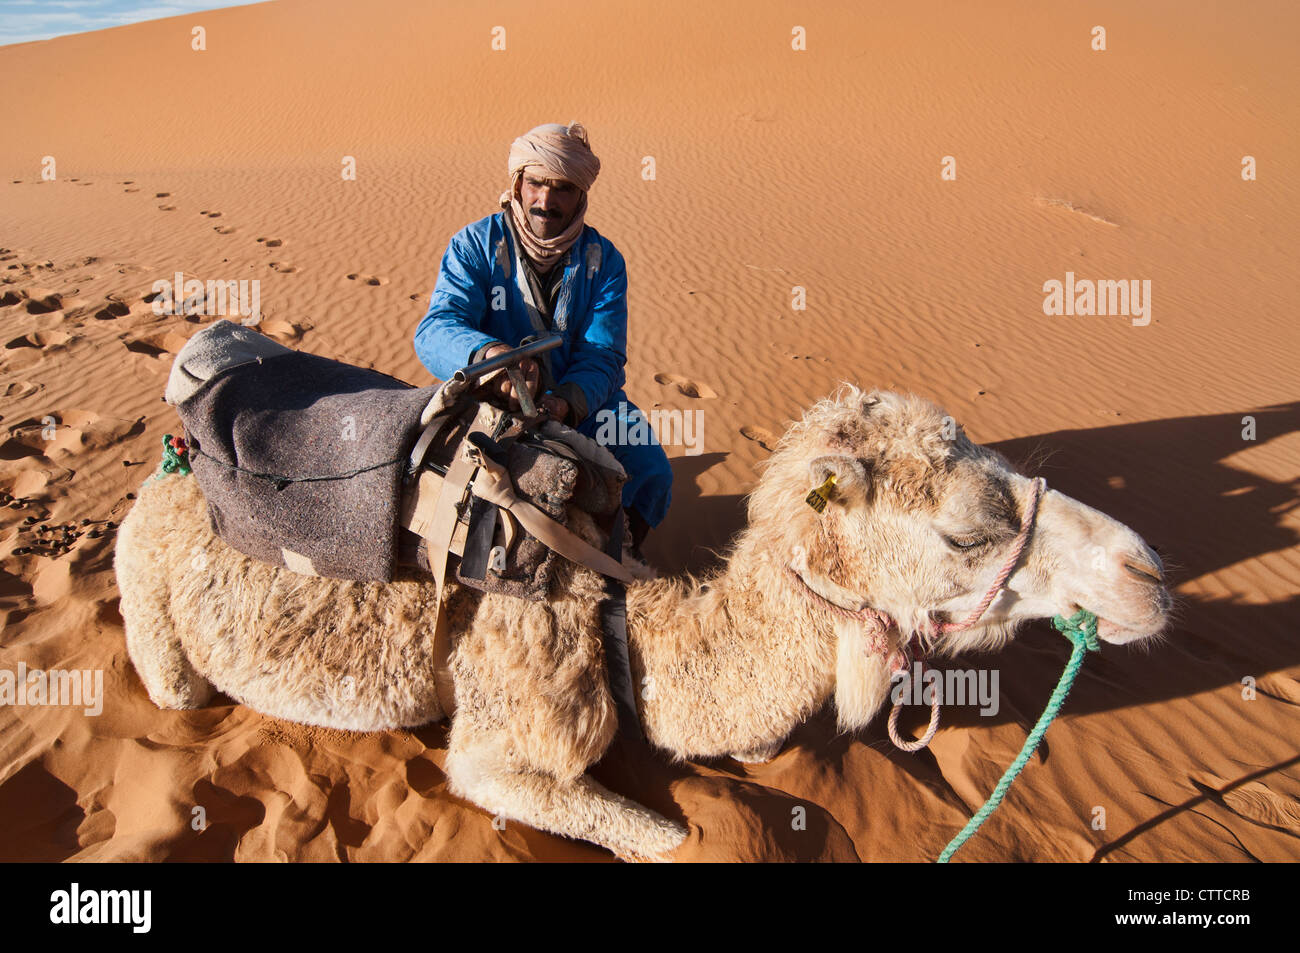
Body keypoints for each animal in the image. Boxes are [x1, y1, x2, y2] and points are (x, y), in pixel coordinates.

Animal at [114, 385, 1172, 861]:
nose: (1149, 575)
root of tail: (165, 469)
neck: (622, 626)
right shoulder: (501, 745)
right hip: (151, 611)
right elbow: (665, 837)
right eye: (963, 532)